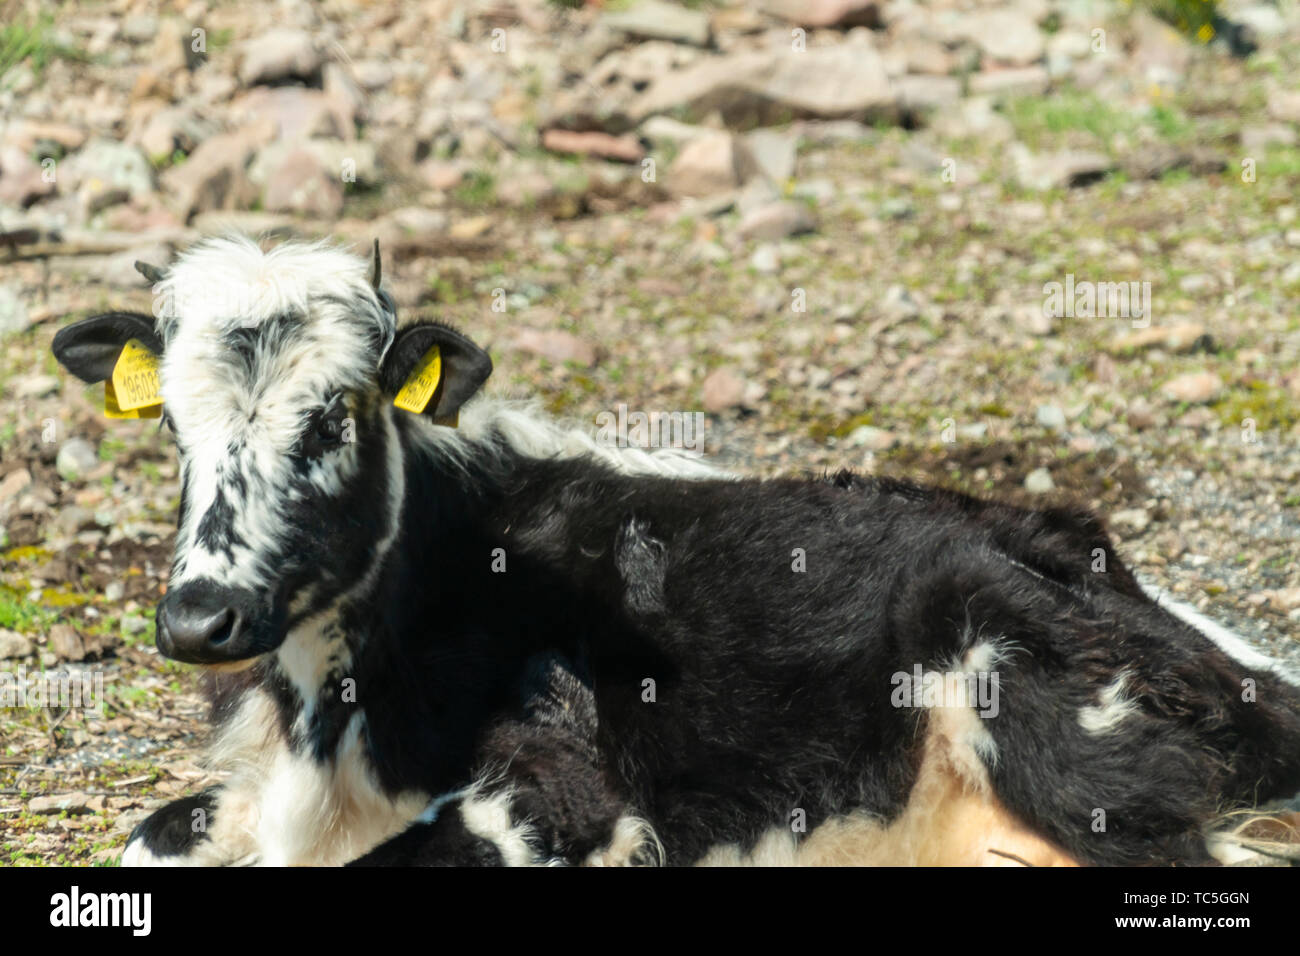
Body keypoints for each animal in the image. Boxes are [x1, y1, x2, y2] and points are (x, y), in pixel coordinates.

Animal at [50, 235, 1300, 866]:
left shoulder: (567, 794)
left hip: (1048, 711)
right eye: (172, 428)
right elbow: (148, 839)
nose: (198, 617)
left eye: (334, 417)